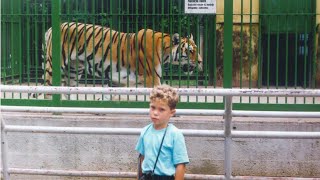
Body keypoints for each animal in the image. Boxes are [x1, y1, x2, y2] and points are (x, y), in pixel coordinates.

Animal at [33, 21, 202, 99]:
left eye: (196, 49)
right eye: (190, 51)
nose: (201, 61)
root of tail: (50, 28)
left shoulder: (117, 78)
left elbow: (110, 96)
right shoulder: (152, 78)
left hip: (74, 71)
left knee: (68, 91)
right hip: (54, 66)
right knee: (48, 90)